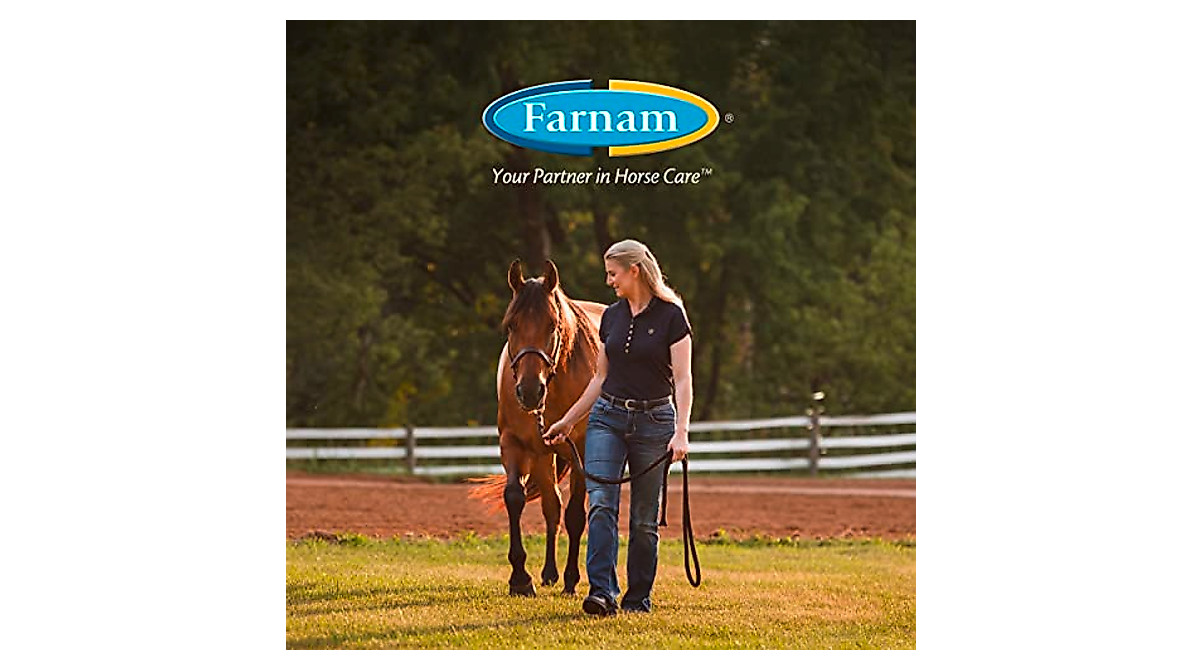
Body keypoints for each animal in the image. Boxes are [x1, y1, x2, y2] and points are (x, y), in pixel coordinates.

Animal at [469, 259, 605, 596]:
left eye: (552, 325)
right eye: (510, 325)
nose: (530, 391)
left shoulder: (582, 451)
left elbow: (575, 516)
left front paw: (571, 579)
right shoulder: (514, 444)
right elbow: (515, 499)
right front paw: (520, 577)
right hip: (544, 456)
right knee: (551, 506)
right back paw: (548, 573)